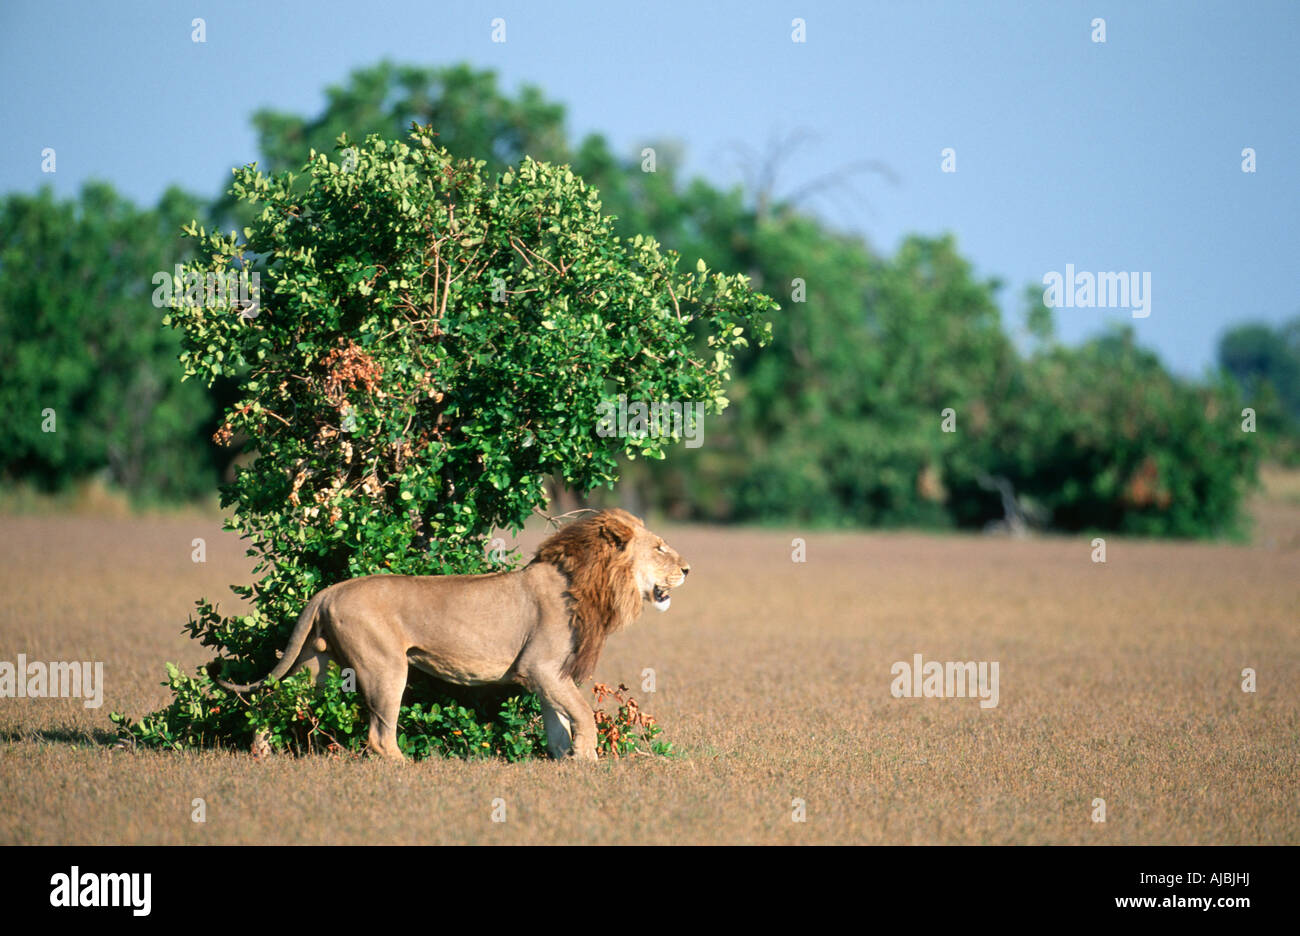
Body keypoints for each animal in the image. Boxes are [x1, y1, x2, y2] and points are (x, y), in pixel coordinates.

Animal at [215, 509, 689, 761]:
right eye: (659, 547)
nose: (688, 569)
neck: (594, 582)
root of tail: (329, 590)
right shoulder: (539, 667)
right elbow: (583, 714)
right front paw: (587, 760)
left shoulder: (547, 674)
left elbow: (557, 722)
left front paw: (562, 761)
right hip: (384, 666)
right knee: (378, 735)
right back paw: (407, 766)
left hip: (321, 664)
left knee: (274, 698)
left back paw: (260, 747)